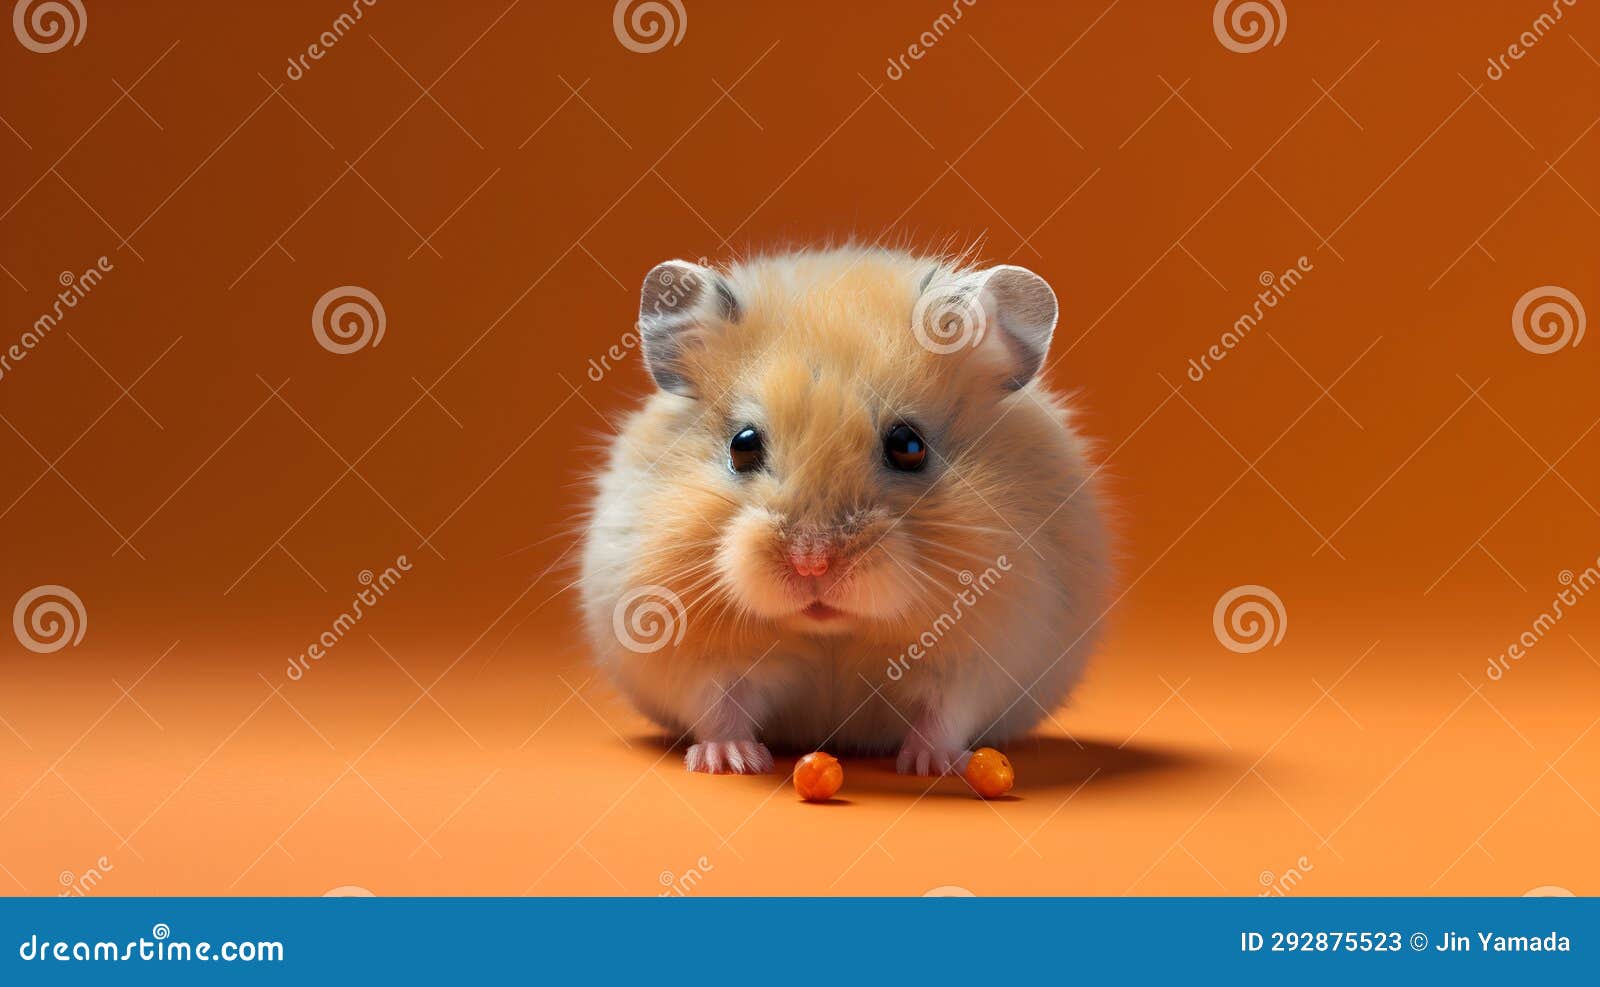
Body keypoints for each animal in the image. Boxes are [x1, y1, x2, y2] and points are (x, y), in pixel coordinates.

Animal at [578, 246, 1110, 775]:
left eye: (909, 446)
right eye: (742, 445)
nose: (812, 563)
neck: (831, 633)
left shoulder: (985, 656)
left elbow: (945, 713)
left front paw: (932, 765)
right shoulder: (692, 658)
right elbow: (719, 706)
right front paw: (730, 761)